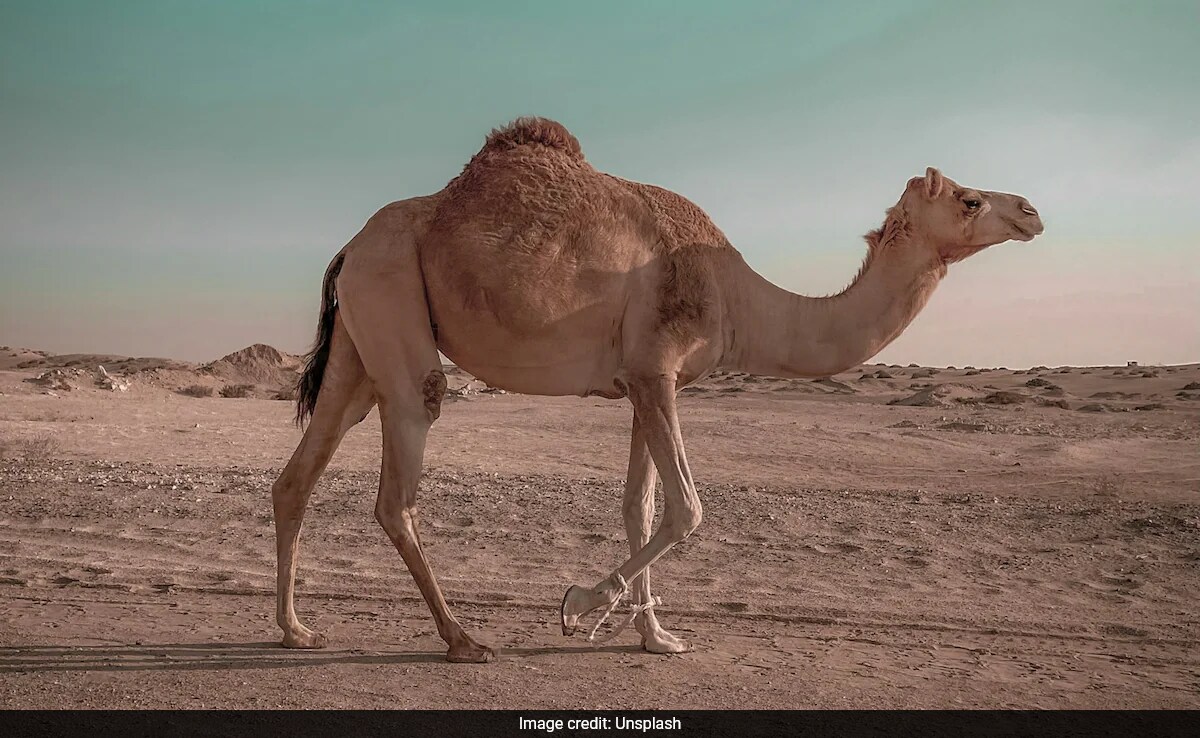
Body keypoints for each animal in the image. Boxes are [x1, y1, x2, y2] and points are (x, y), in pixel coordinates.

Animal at [272, 117, 1044, 663]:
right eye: (971, 199)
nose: (1032, 210)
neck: (738, 298)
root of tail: (349, 246)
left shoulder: (643, 381)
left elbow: (639, 508)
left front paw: (655, 637)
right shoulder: (658, 369)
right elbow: (688, 509)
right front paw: (579, 605)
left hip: (359, 340)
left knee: (299, 475)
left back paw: (295, 629)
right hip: (393, 302)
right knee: (399, 481)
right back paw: (462, 640)